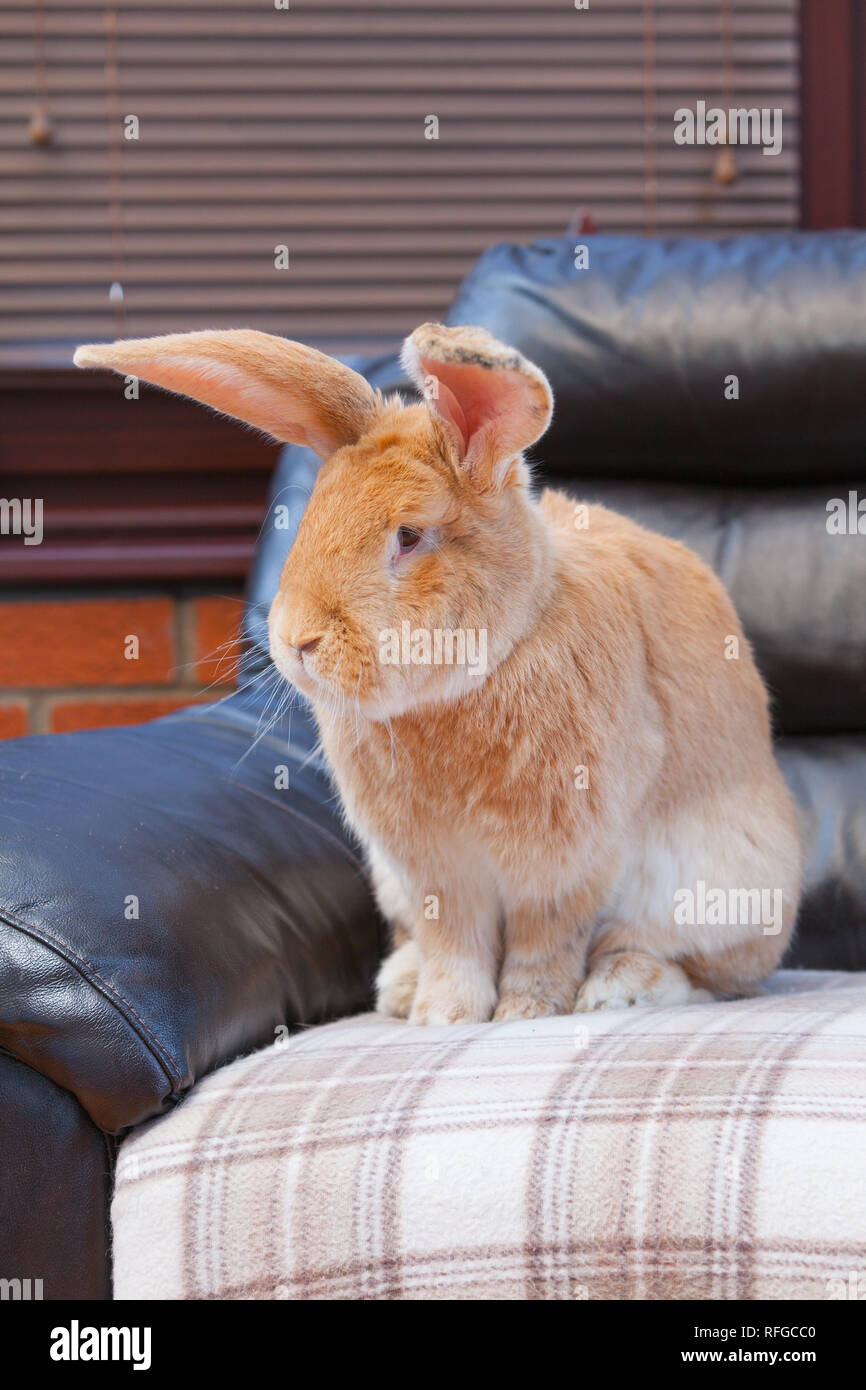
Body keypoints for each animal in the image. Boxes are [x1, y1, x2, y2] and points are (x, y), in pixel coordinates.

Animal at [74, 324, 802, 1024]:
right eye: (309, 519)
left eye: (408, 537)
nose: (295, 640)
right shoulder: (433, 872)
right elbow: (454, 942)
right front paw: (442, 1017)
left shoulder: (566, 861)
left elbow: (547, 941)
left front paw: (525, 1012)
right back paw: (400, 989)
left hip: (721, 892)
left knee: (702, 972)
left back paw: (616, 991)